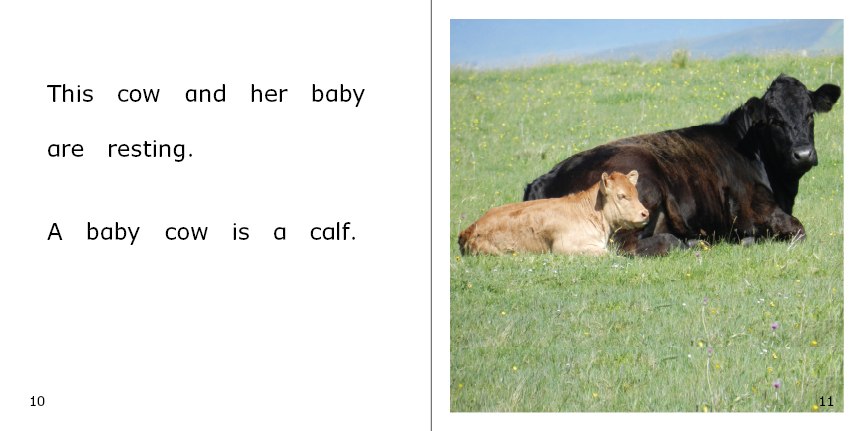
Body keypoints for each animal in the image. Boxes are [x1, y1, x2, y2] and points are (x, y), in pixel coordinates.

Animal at [523, 74, 840, 256]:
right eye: (775, 120)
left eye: (810, 114)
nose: (803, 154)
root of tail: (542, 179)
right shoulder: (756, 210)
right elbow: (798, 229)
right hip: (644, 183)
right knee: (625, 246)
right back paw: (688, 243)